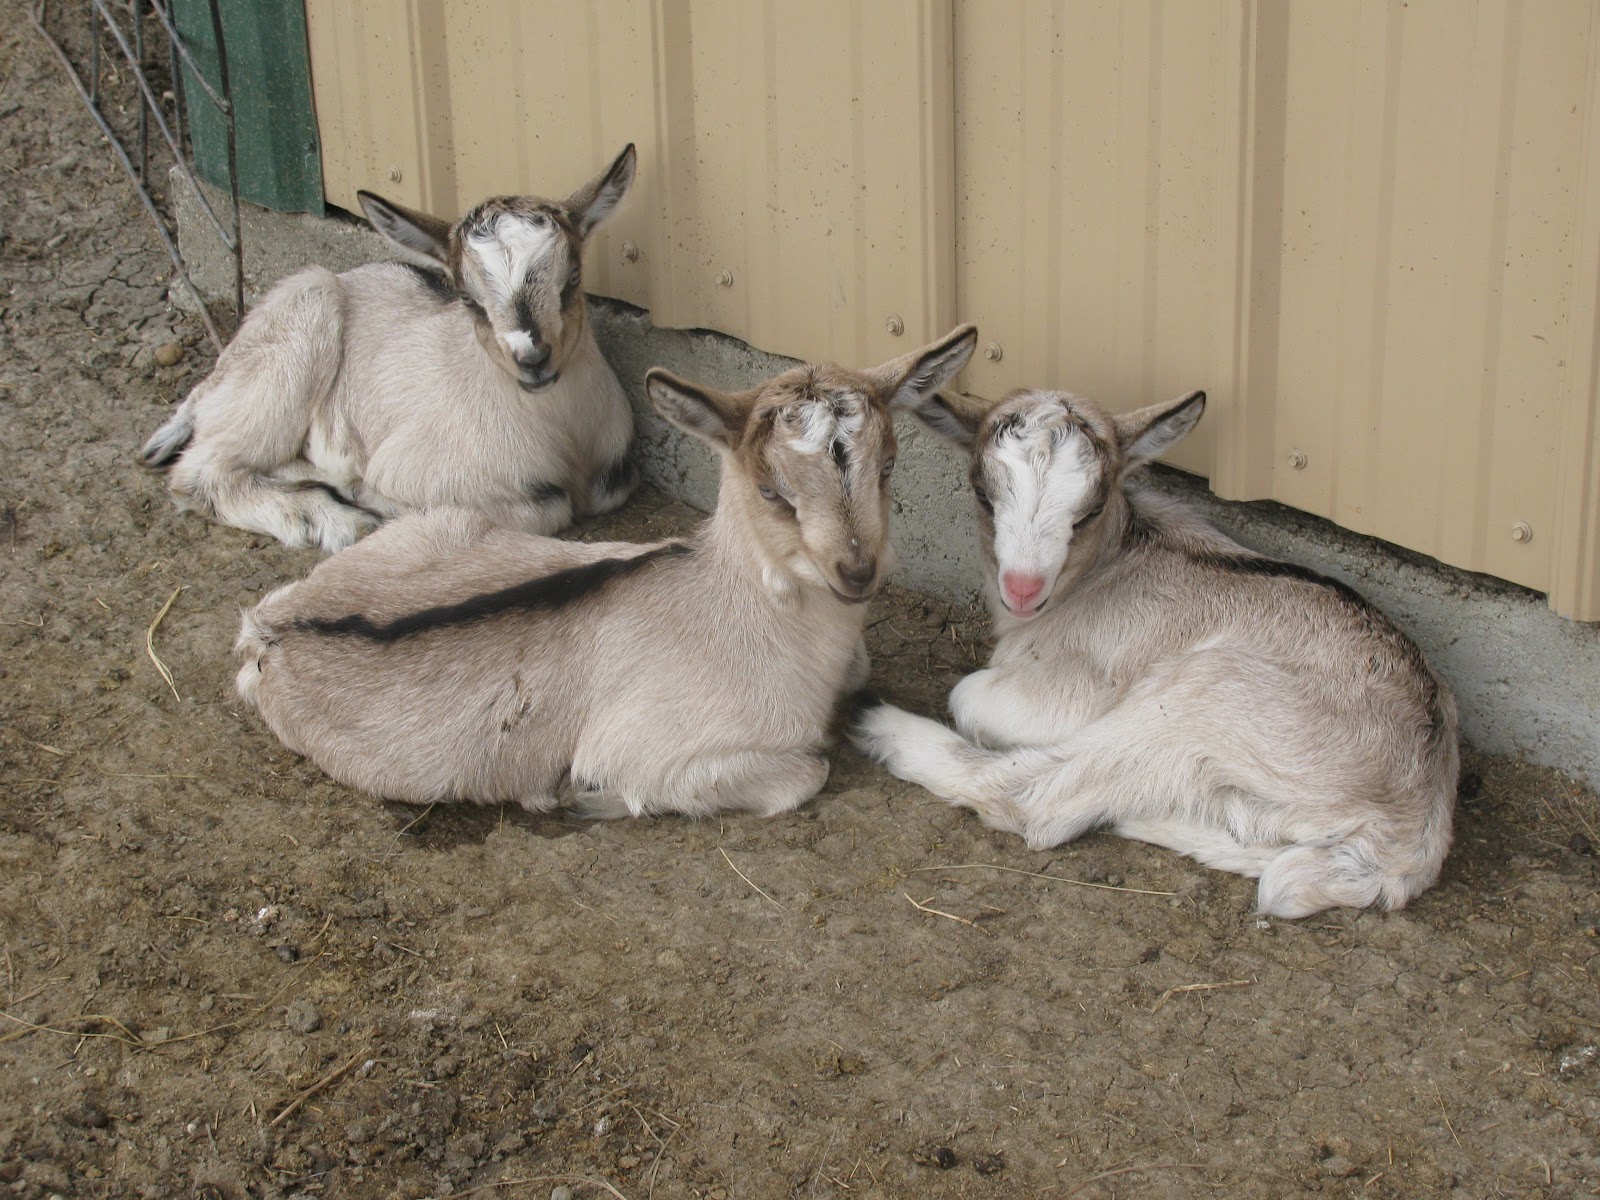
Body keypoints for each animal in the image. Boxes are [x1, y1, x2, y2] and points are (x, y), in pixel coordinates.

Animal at [141, 145, 640, 552]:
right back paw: (330, 516)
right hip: (300, 323)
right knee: (200, 471)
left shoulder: (613, 475)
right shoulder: (419, 471)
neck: (566, 435)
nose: (532, 360)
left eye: (572, 279)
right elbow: (541, 508)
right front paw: (366, 499)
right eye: (468, 299)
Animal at [233, 327, 979, 816]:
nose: (856, 571)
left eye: (887, 468)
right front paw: (582, 797)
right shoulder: (649, 750)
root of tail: (264, 630)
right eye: (773, 491)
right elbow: (808, 773)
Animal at [854, 386, 1459, 918]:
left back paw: (882, 727)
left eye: (1090, 510)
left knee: (1037, 797)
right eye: (982, 493)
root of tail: (1411, 833)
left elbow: (969, 697)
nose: (1023, 588)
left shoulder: (1074, 687)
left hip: (1202, 699)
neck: (1113, 561)